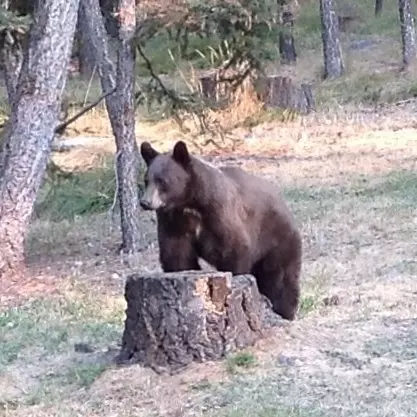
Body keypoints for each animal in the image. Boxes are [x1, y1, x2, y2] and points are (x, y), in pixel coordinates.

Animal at [140, 140, 302, 318]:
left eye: (162, 181)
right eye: (146, 180)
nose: (145, 202)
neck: (190, 204)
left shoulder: (220, 214)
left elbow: (234, 249)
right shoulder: (173, 222)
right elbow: (176, 254)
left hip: (277, 239)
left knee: (281, 278)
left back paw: (285, 311)